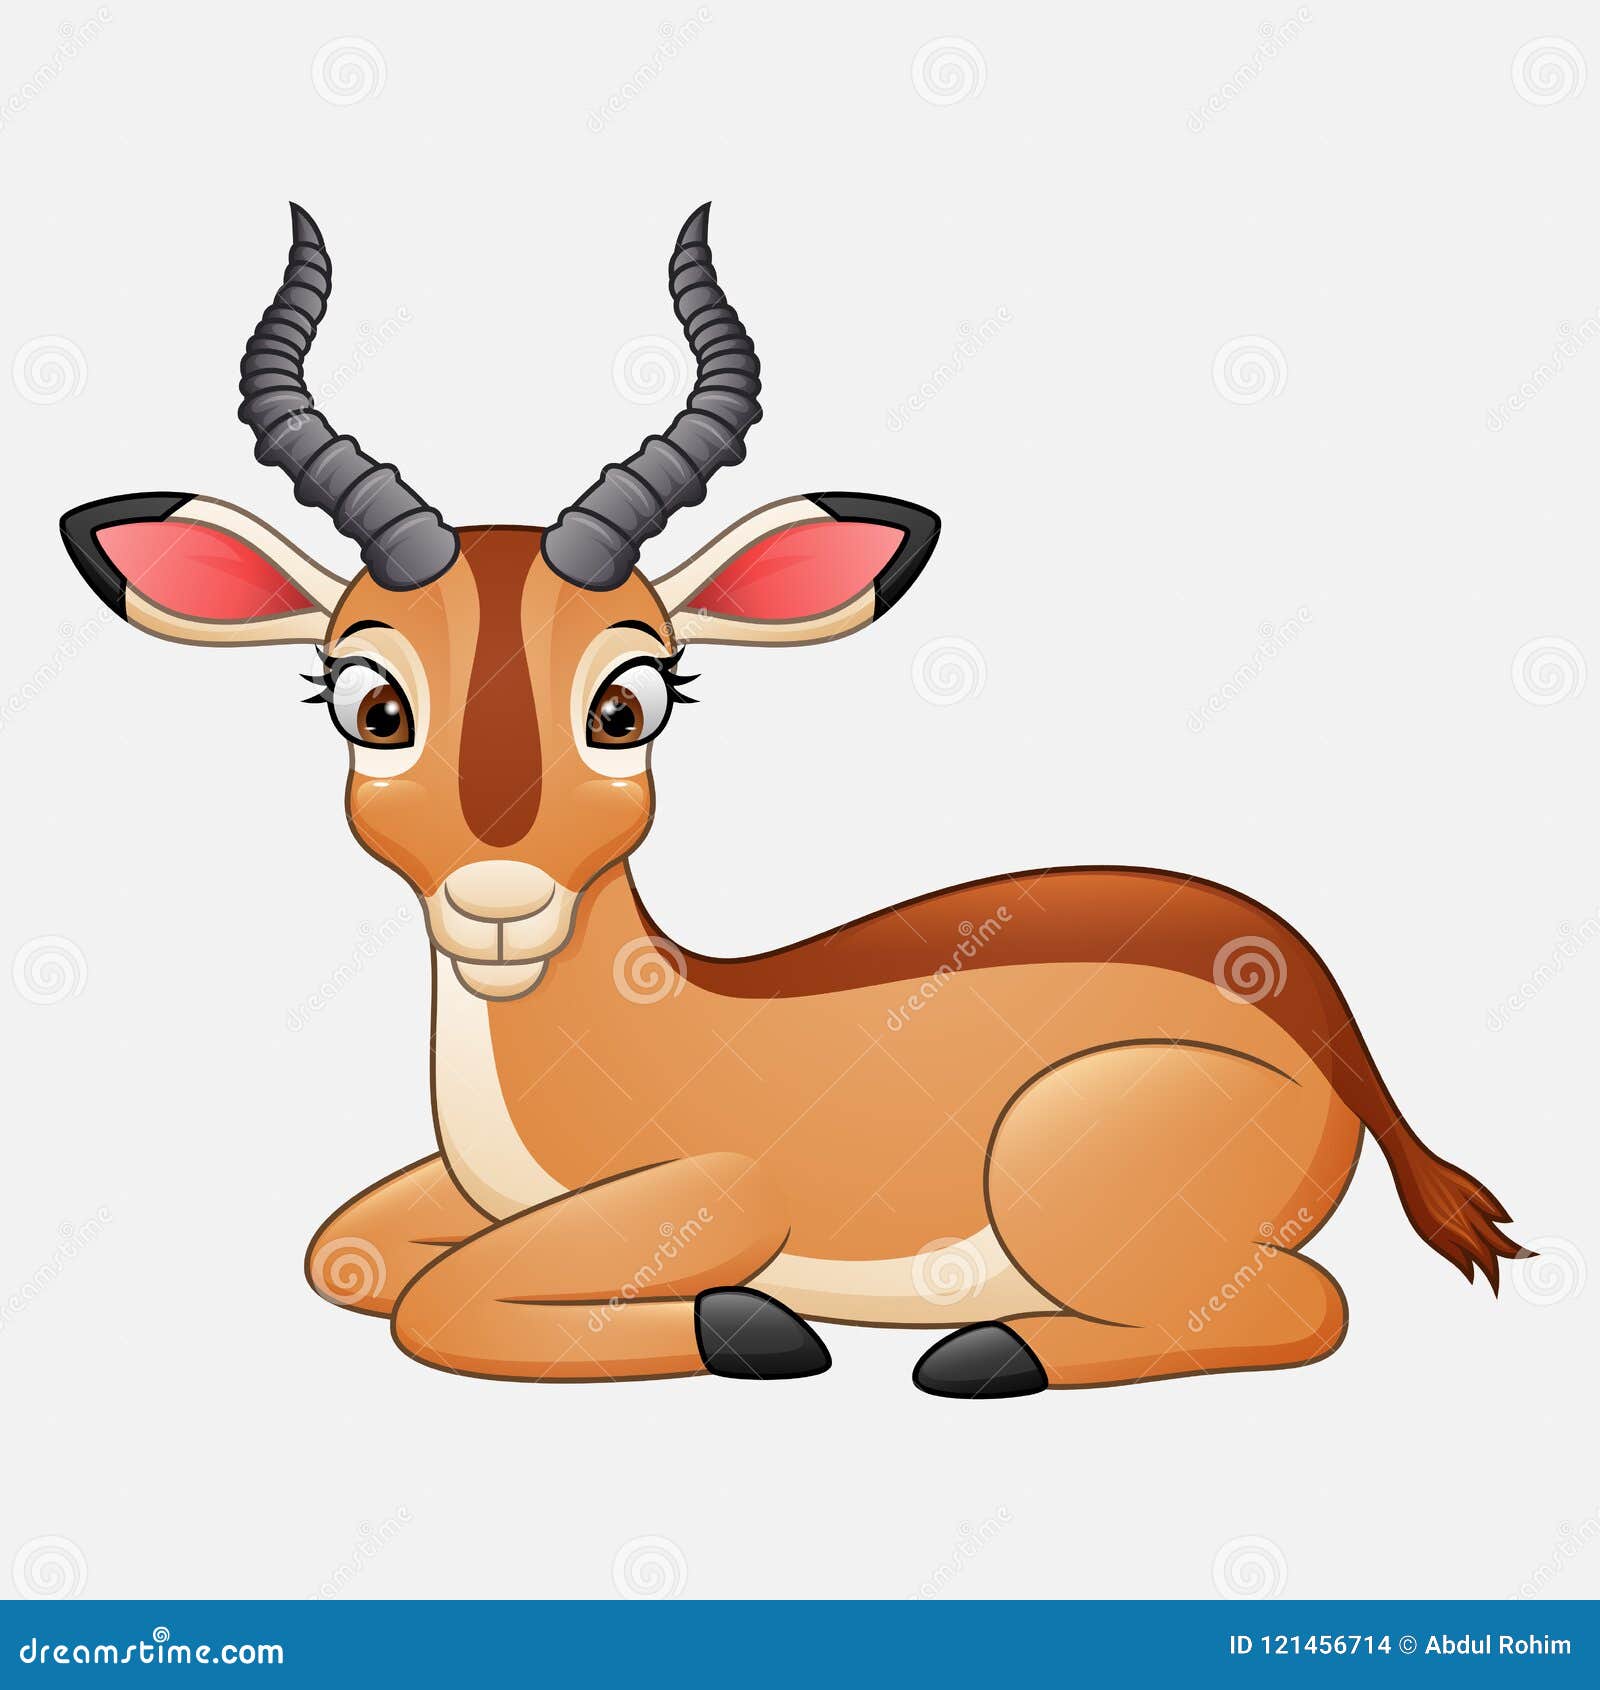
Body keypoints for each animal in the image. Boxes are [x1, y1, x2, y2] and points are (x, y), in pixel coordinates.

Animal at [61, 205, 1523, 1396]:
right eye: (370, 700)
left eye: (629, 701)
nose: (499, 901)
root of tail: (1316, 1002)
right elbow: (349, 1249)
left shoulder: (715, 1190)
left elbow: (436, 1298)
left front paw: (753, 1326)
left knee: (1308, 1304)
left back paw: (985, 1351)